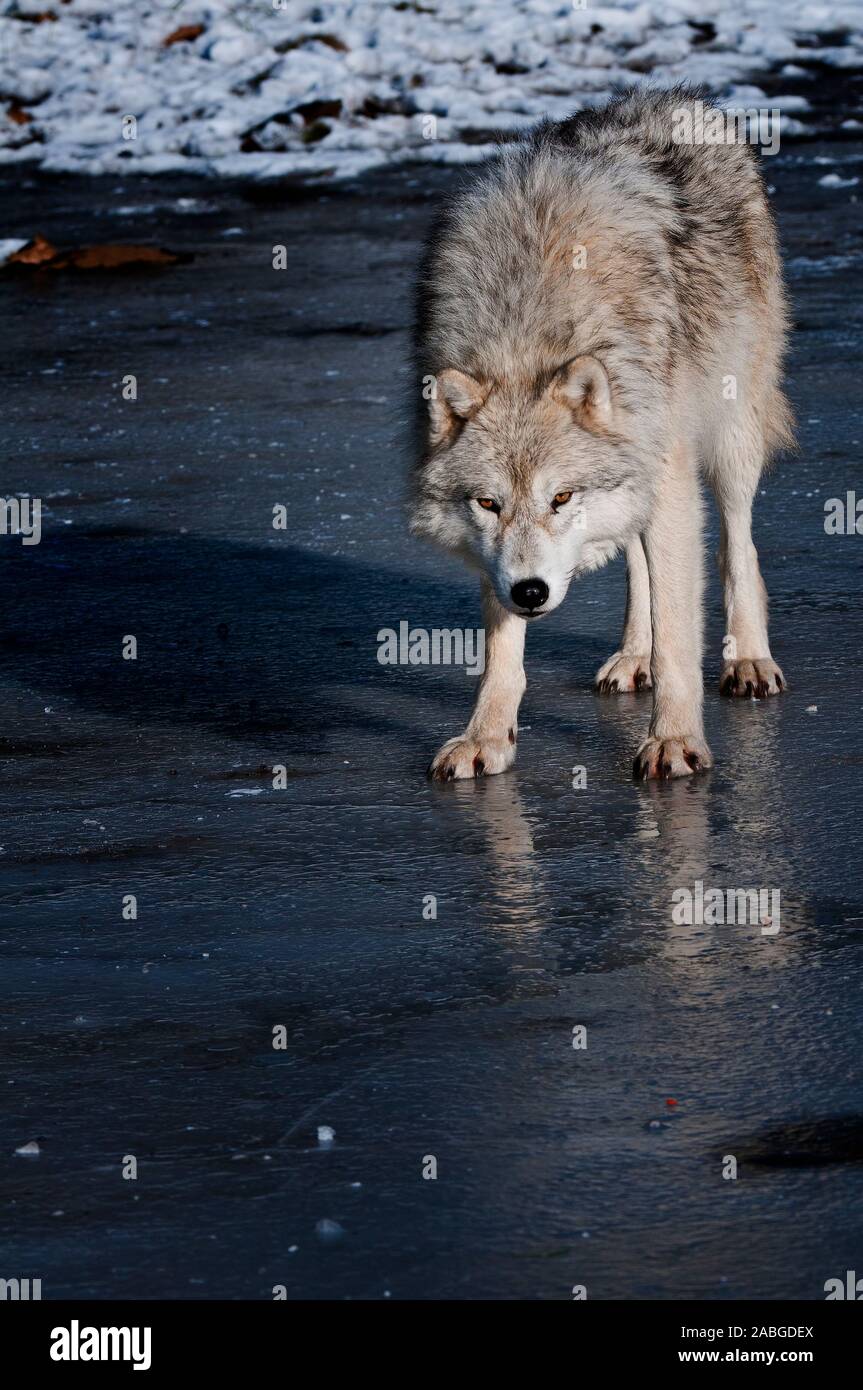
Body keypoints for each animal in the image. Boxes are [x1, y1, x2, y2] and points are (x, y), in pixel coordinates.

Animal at [410, 87, 792, 780]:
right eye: (488, 503)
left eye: (560, 497)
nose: (532, 591)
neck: (526, 333)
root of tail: (674, 97)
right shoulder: (500, 558)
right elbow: (502, 651)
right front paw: (486, 737)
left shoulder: (669, 479)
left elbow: (679, 635)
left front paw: (674, 740)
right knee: (637, 560)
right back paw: (633, 654)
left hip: (729, 434)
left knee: (738, 543)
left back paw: (748, 658)